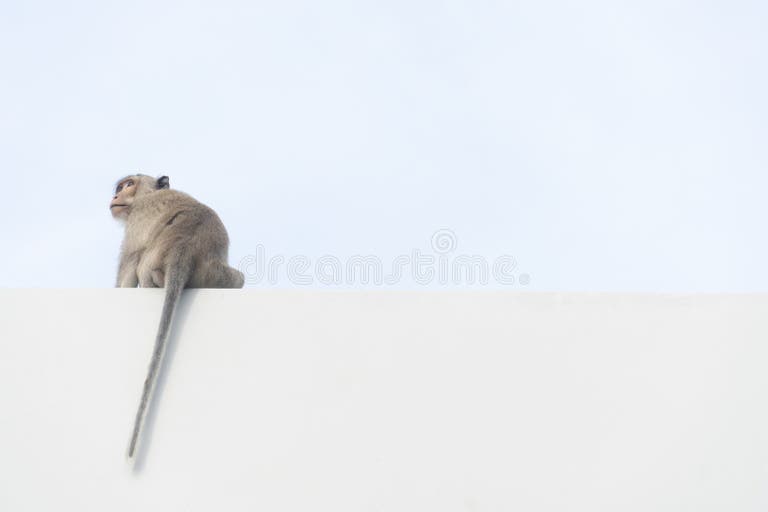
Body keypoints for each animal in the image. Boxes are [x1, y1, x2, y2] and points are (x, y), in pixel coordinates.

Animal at [110, 174, 244, 460]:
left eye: (128, 185)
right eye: (120, 187)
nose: (115, 196)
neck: (148, 194)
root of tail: (184, 248)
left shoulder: (135, 221)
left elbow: (126, 272)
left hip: (153, 266)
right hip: (216, 276)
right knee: (239, 280)